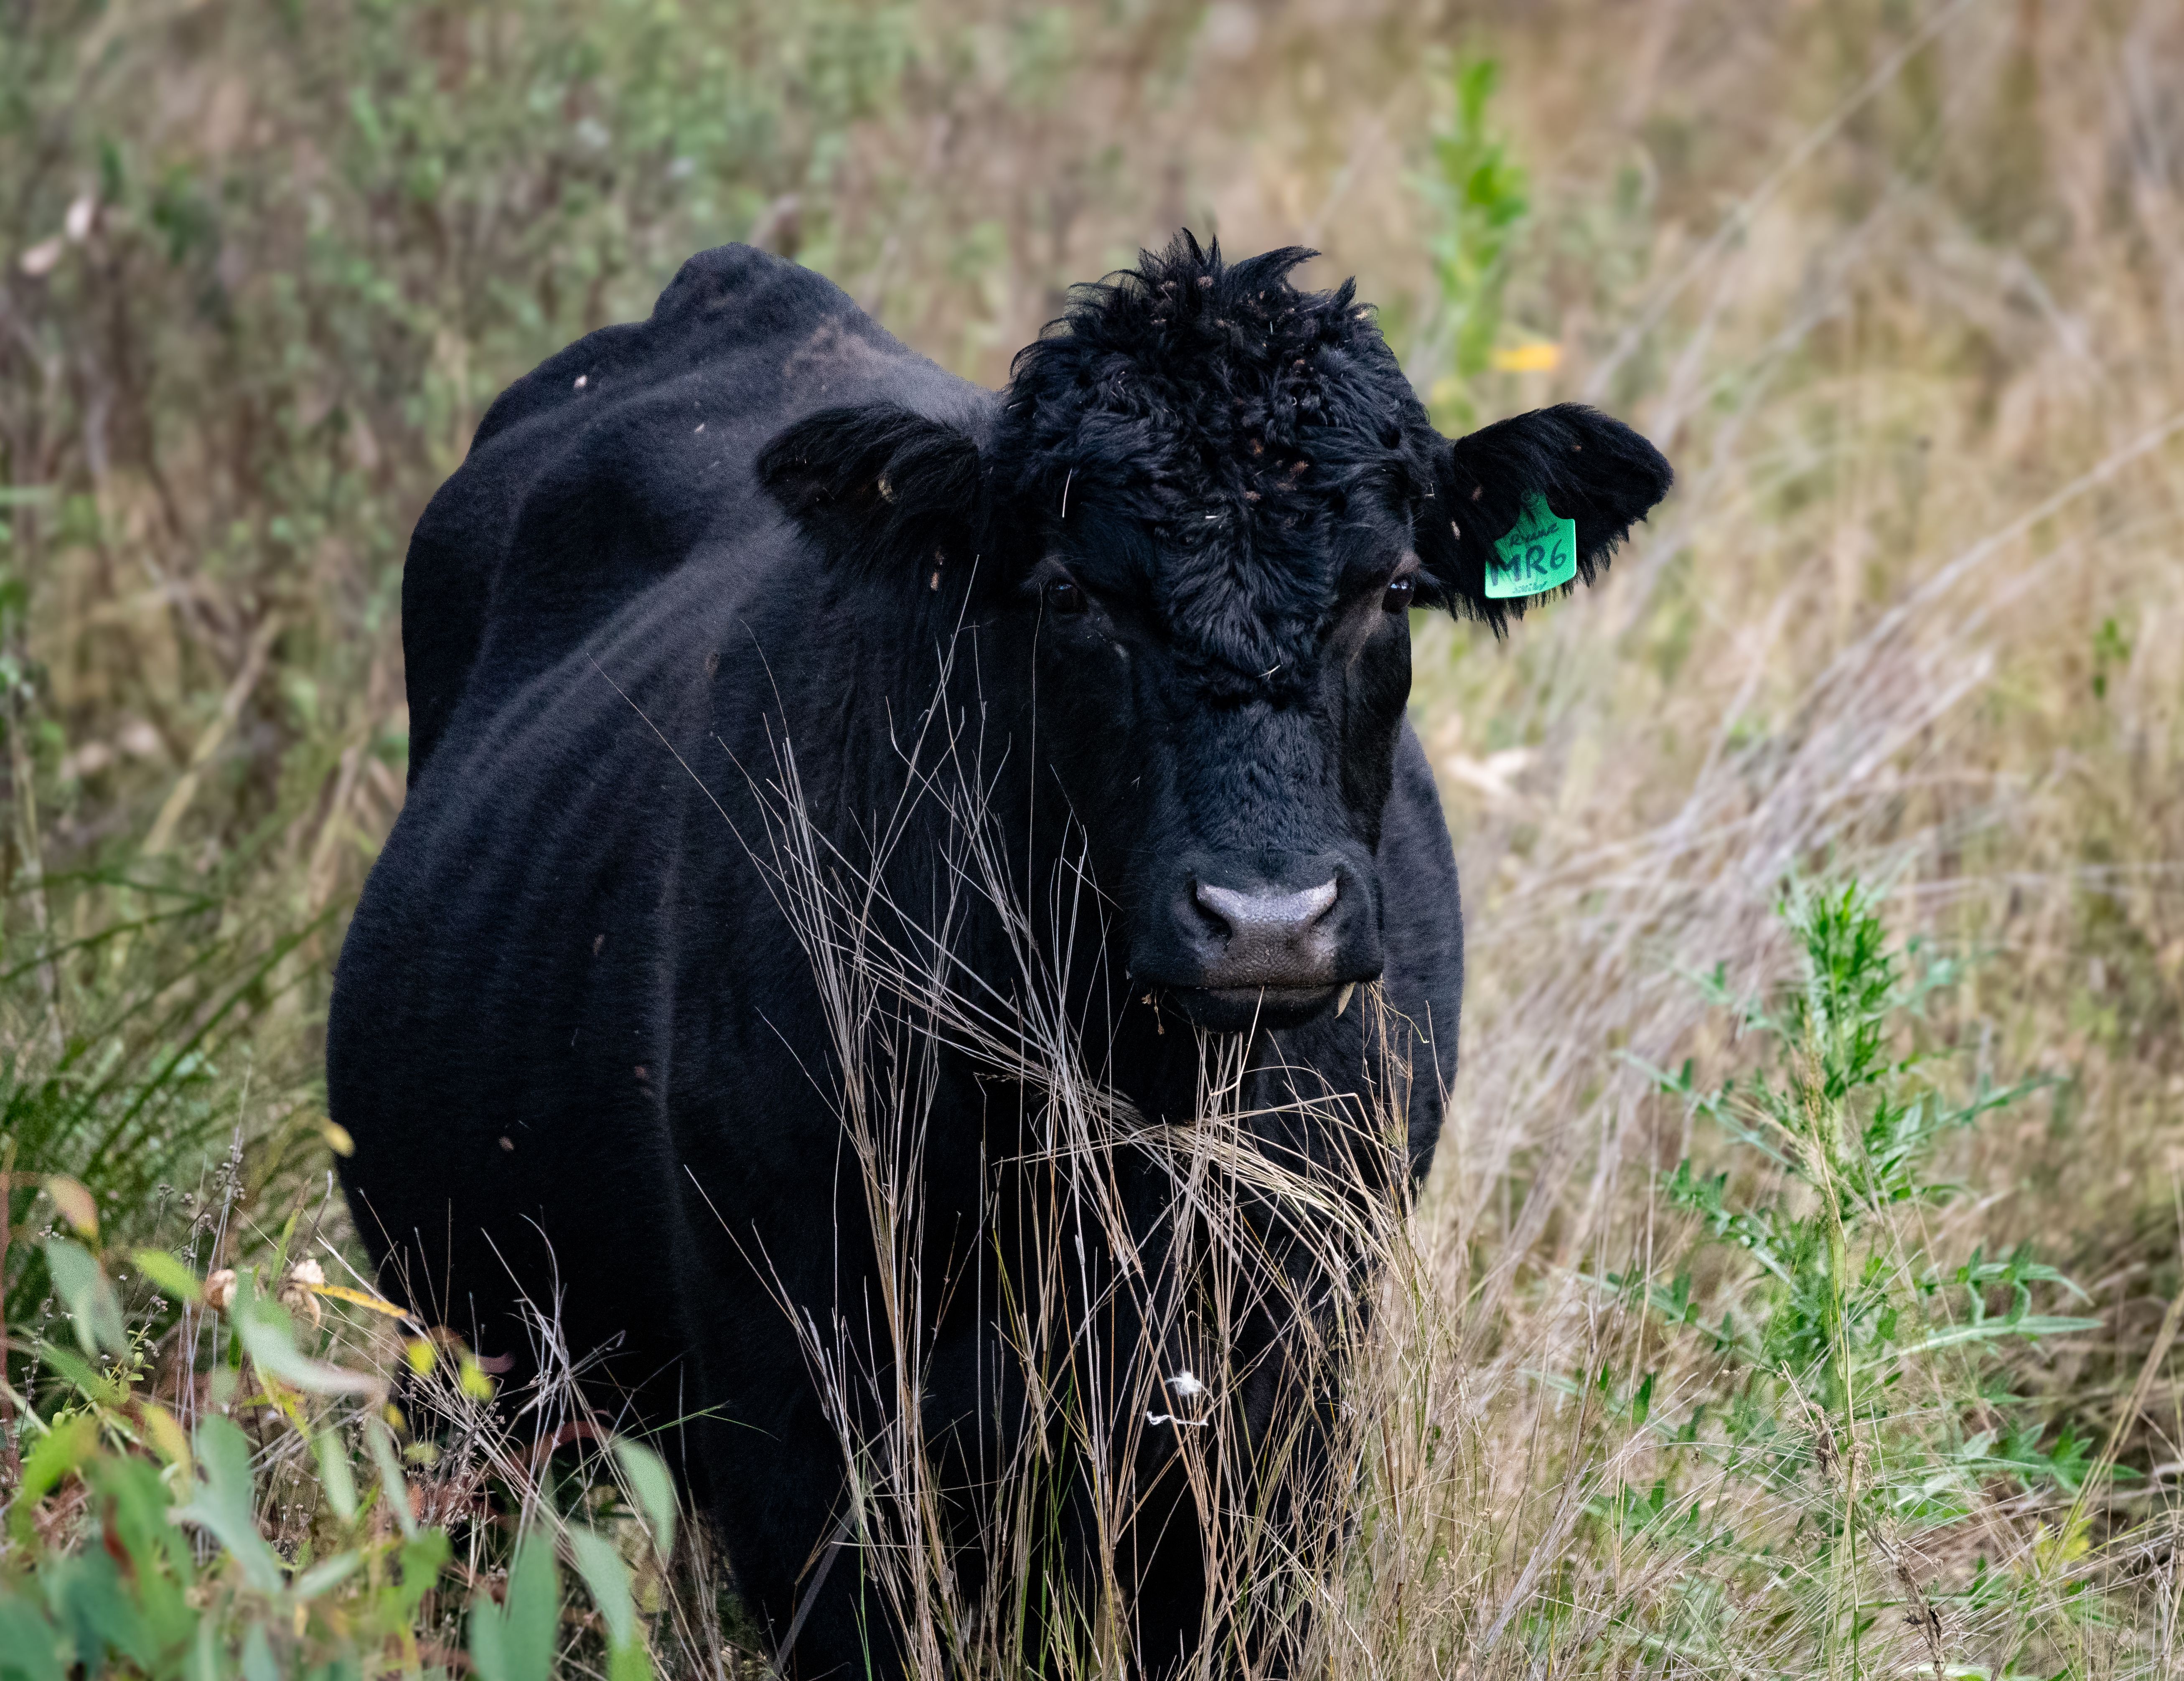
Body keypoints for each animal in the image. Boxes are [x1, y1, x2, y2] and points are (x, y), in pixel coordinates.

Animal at [328, 234, 1671, 1677]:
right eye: (1072, 590)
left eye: (1393, 588)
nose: (1264, 919)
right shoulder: (805, 1422)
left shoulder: (1280, 1420)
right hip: (468, 1353)